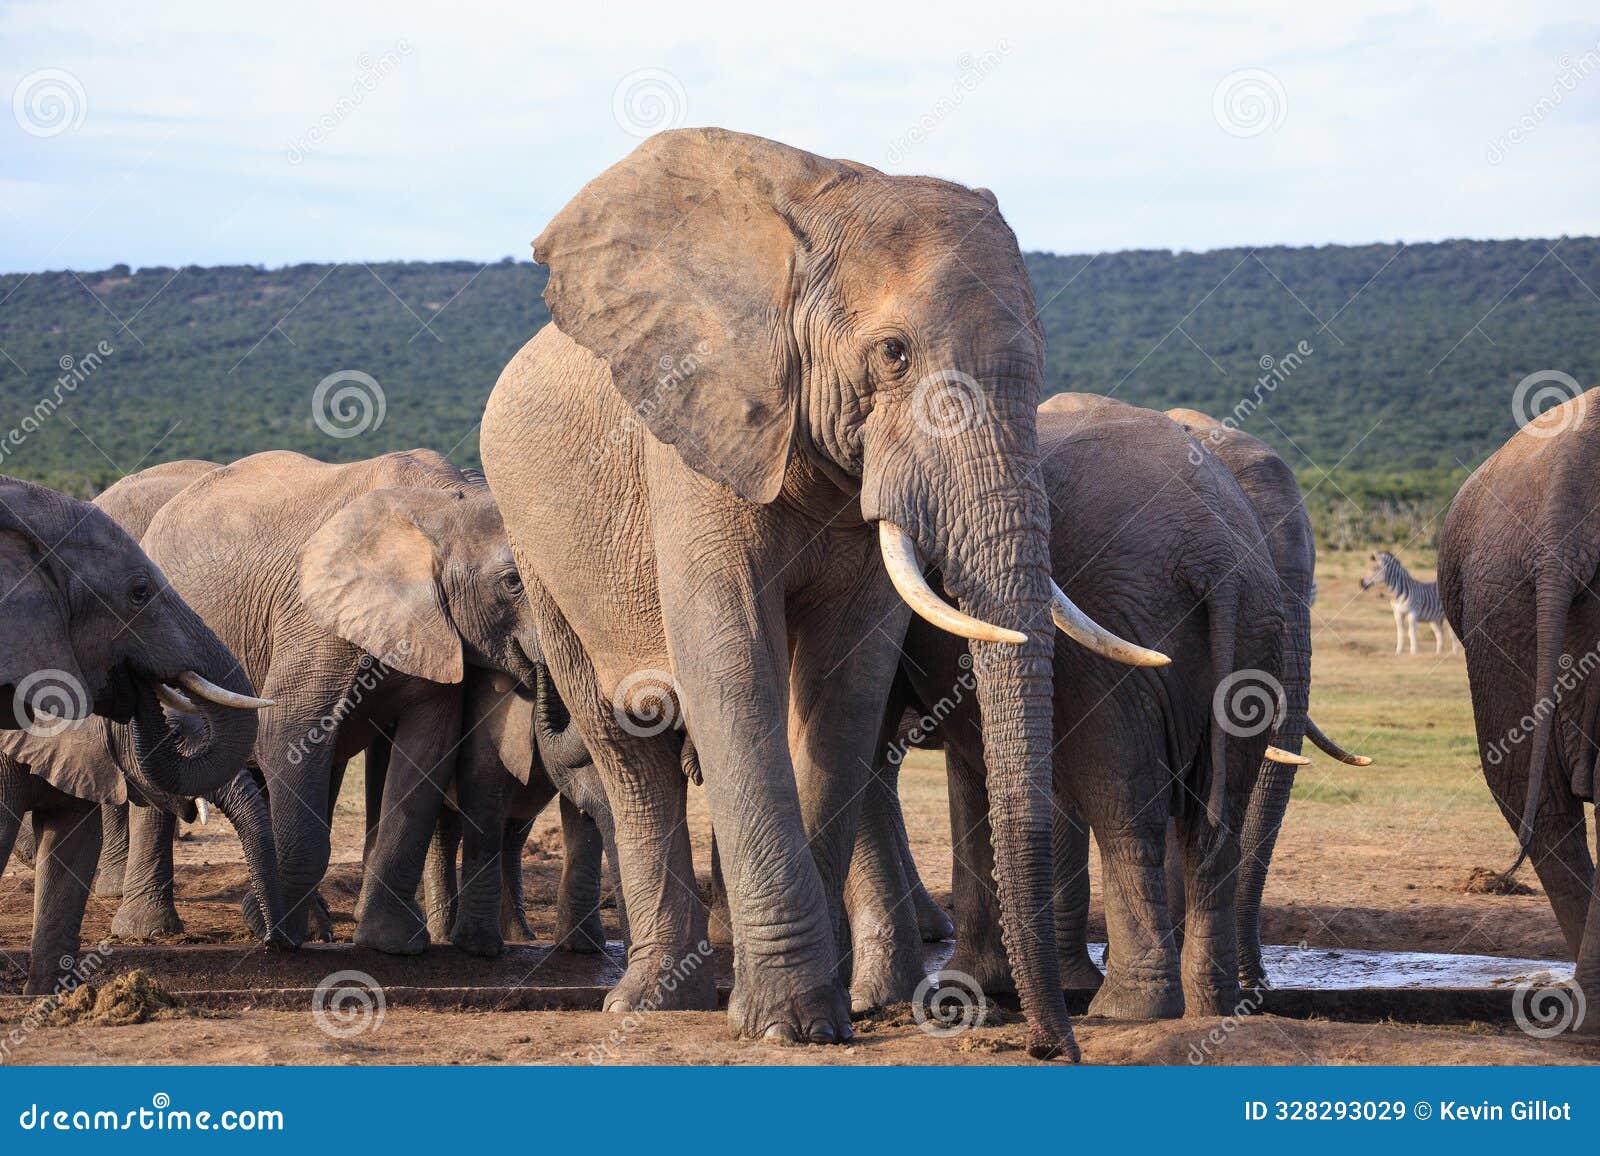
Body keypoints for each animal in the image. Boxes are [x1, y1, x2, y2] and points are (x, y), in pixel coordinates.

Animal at [129, 449, 541, 953]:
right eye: (513, 582)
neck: (440, 503)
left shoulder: (441, 636)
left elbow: (426, 752)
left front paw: (390, 944)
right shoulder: (313, 619)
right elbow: (287, 733)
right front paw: (276, 934)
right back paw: (152, 930)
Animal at [481, 128, 1163, 1058]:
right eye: (894, 354)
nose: (1050, 1045)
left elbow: (845, 686)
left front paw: (822, 1012)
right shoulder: (700, 431)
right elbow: (732, 666)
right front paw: (787, 1025)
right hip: (534, 540)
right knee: (624, 739)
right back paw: (650, 1001)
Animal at [846, 394, 1284, 1020]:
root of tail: (1216, 556)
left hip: (1126, 630)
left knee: (1125, 806)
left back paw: (1126, 1010)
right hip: (1253, 628)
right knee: (1213, 821)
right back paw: (1211, 1006)